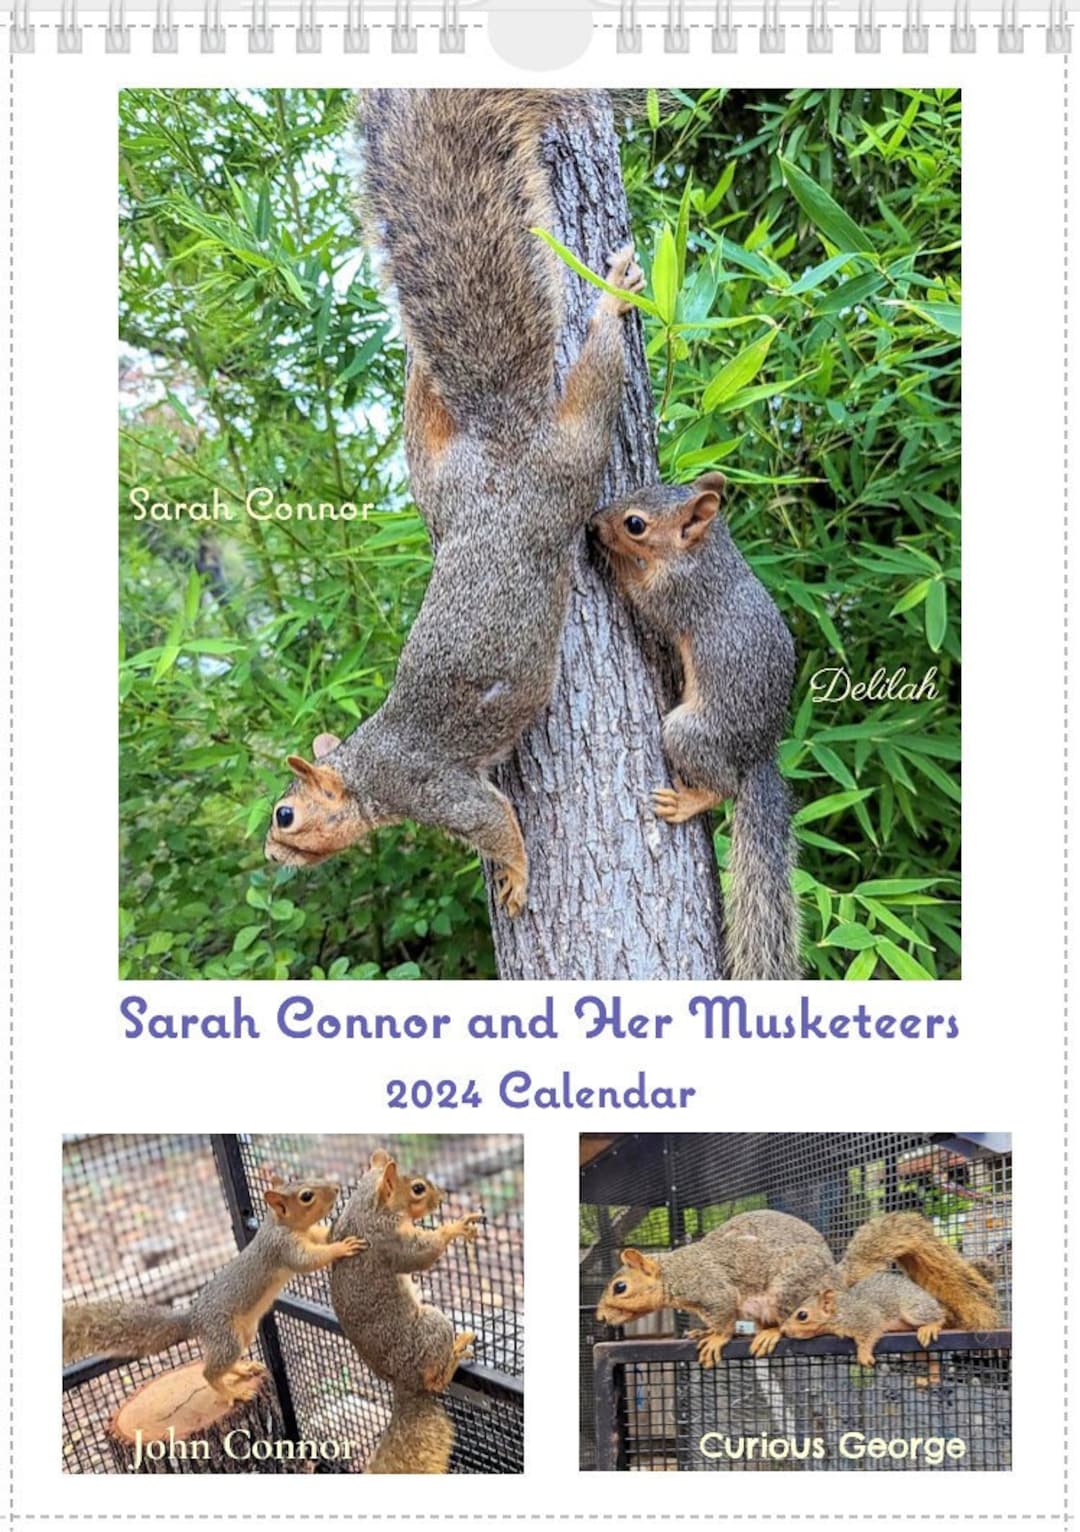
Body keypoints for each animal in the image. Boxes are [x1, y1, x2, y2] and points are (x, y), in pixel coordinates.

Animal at [63, 1178, 364, 1405]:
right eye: (306, 1196)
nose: (337, 1188)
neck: (279, 1225)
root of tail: (193, 1319)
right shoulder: (283, 1248)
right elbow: (308, 1261)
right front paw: (341, 1247)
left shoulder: (307, 1236)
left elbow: (321, 1237)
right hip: (224, 1335)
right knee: (208, 1372)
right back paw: (233, 1392)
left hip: (243, 1334)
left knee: (224, 1363)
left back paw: (243, 1368)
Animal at [264, 90, 644, 918]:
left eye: (286, 814)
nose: (270, 857)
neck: (368, 768)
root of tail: (501, 440)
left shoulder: (436, 790)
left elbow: (496, 825)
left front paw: (517, 880)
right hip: (441, 487)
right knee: (423, 429)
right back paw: (414, 365)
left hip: (567, 465)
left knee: (596, 381)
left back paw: (612, 298)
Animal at [329, 1148, 485, 1474]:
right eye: (418, 1189)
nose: (441, 1198)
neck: (366, 1210)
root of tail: (406, 1385)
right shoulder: (389, 1241)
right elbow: (421, 1255)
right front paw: (455, 1226)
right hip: (431, 1326)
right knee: (436, 1382)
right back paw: (456, 1352)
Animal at [590, 475, 800, 980]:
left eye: (635, 524)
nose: (593, 524)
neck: (708, 551)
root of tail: (758, 751)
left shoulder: (679, 592)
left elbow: (646, 602)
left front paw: (613, 561)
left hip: (689, 731)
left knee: (723, 786)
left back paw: (687, 801)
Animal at [781, 1272, 945, 1366]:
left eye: (802, 1315)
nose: (783, 1329)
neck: (840, 1311)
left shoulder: (866, 1316)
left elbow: (868, 1334)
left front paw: (864, 1354)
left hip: (913, 1309)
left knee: (939, 1316)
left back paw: (930, 1327)